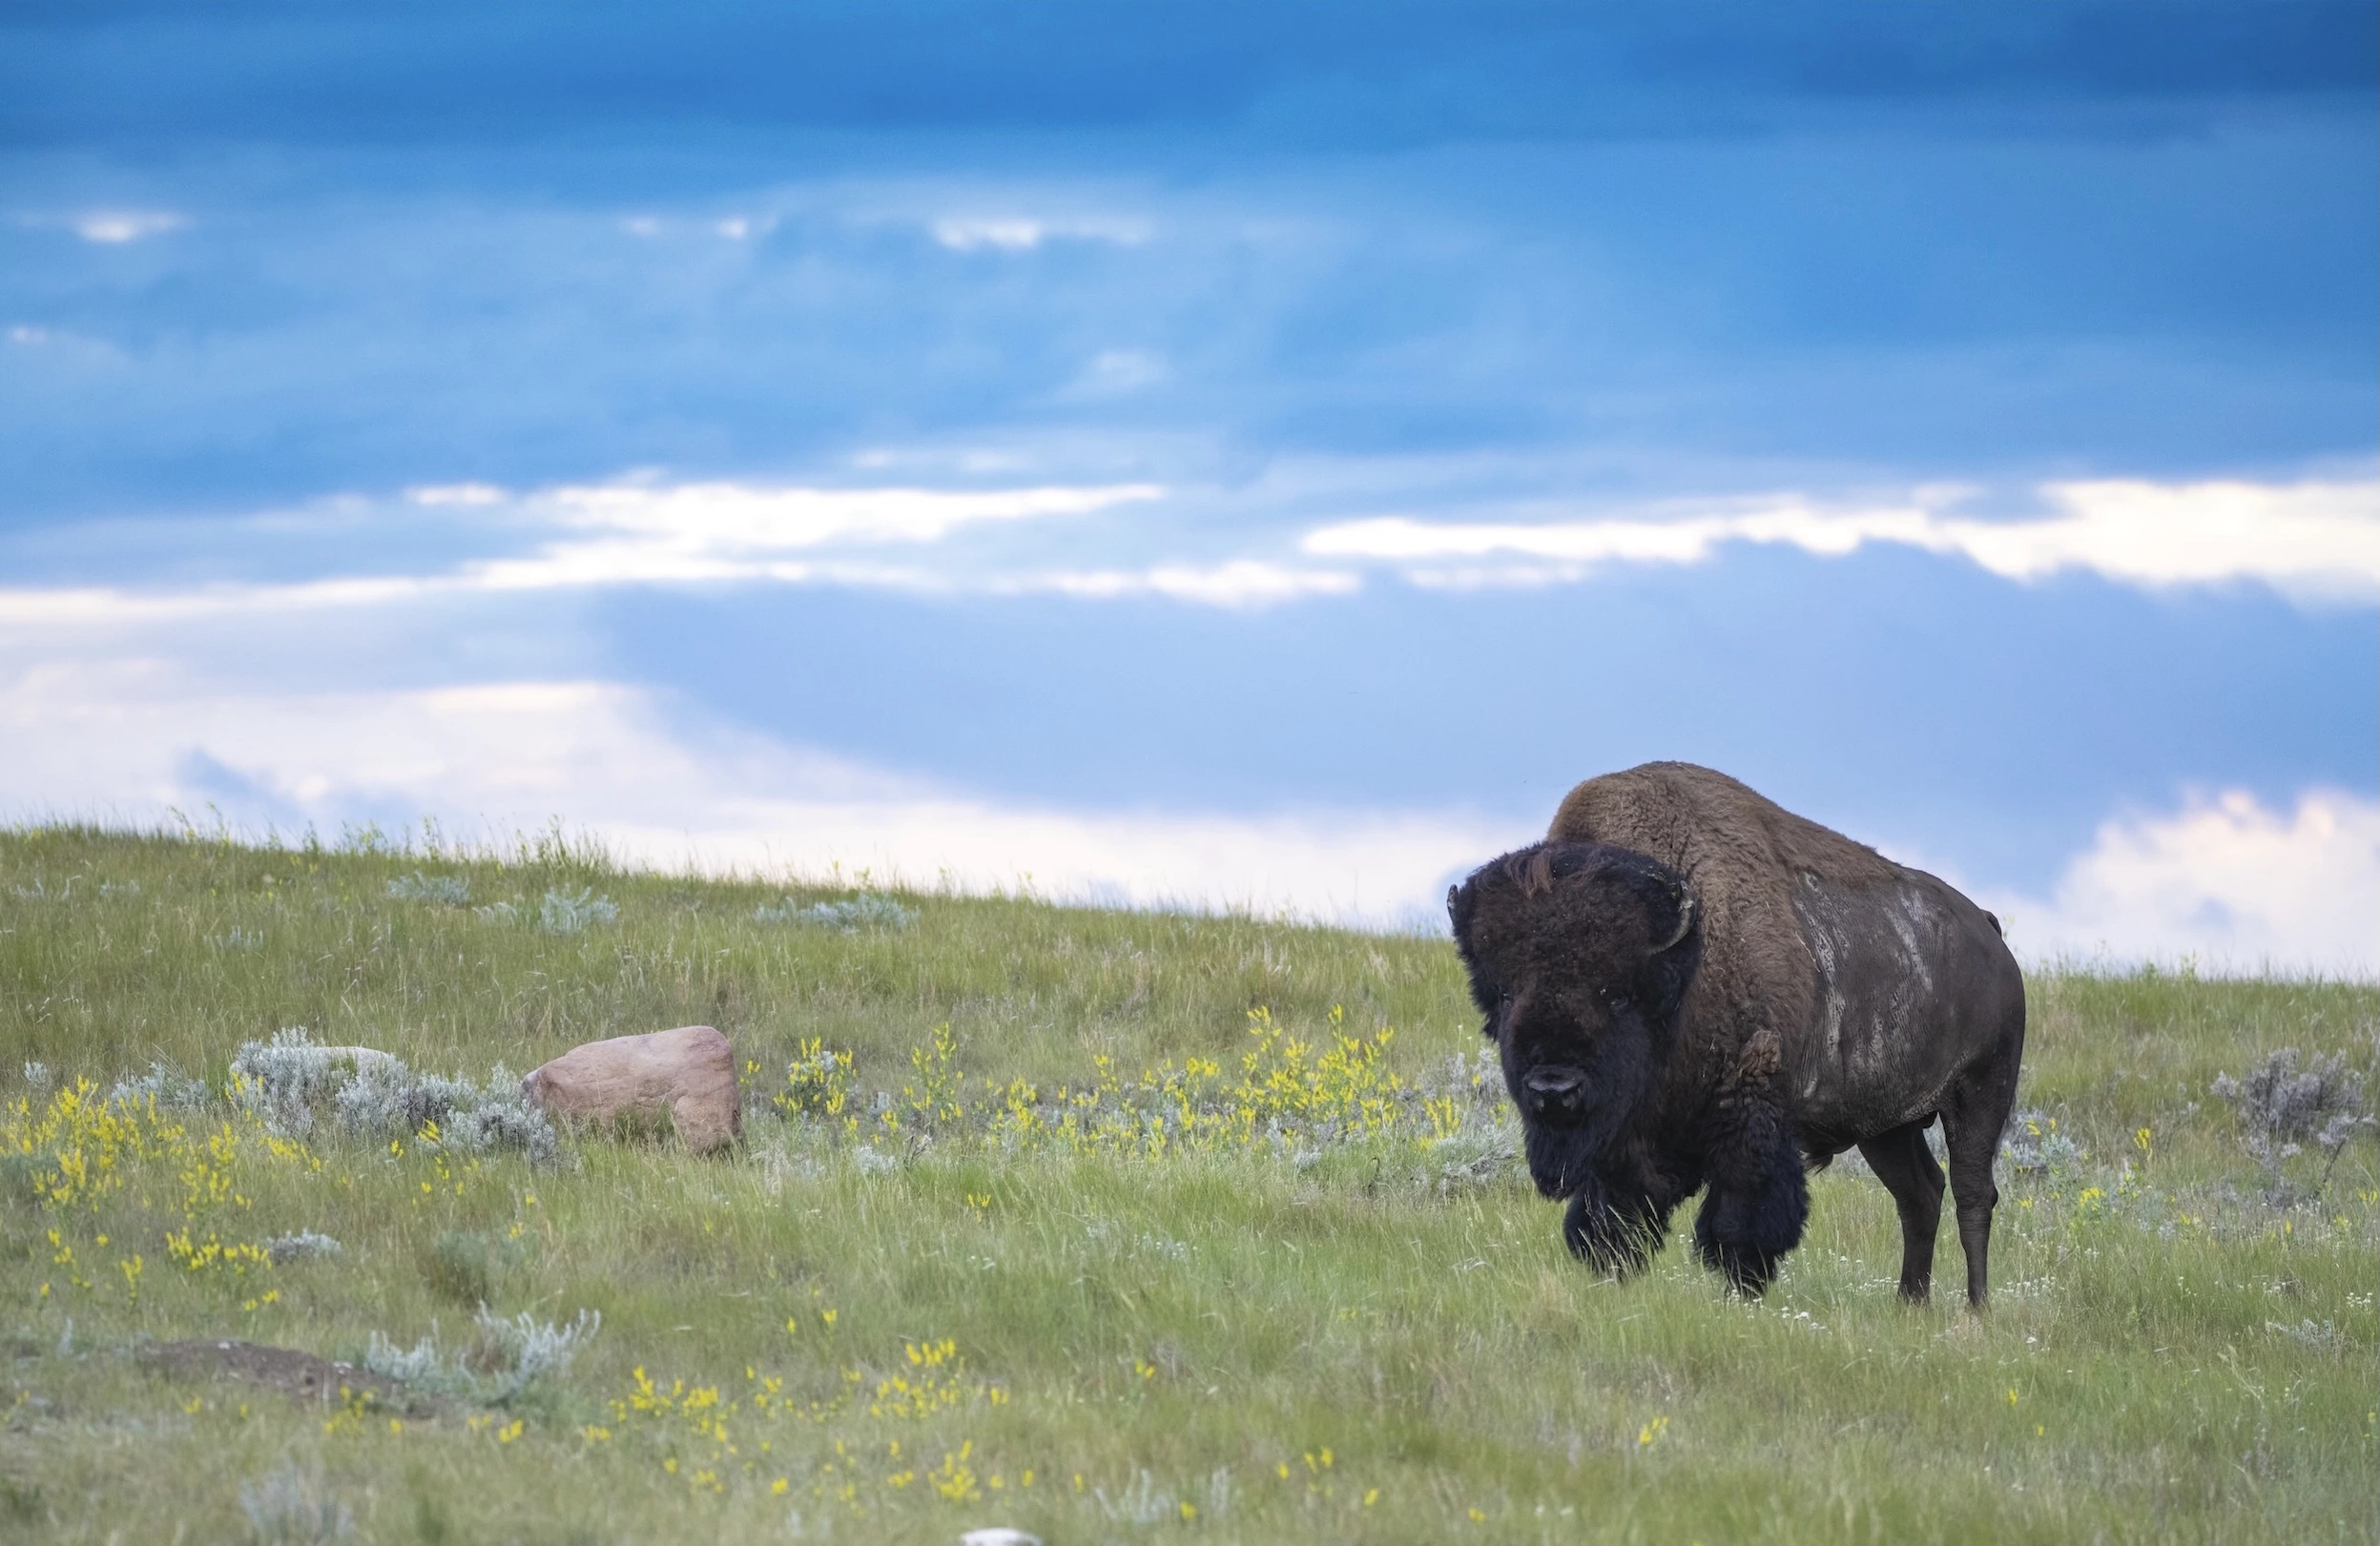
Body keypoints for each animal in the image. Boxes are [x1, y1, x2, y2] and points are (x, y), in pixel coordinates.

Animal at [1448, 762, 2025, 1305]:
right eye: (1504, 993)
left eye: (1617, 993)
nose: (1553, 1088)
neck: (1687, 954)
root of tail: (1990, 934)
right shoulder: (1625, 1145)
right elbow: (1612, 1223)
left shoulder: (1749, 1111)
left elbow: (1738, 1222)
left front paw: (1740, 1294)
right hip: (1885, 1126)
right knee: (1920, 1194)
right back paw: (1910, 1305)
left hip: (1980, 1094)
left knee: (1973, 1194)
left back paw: (1976, 1310)